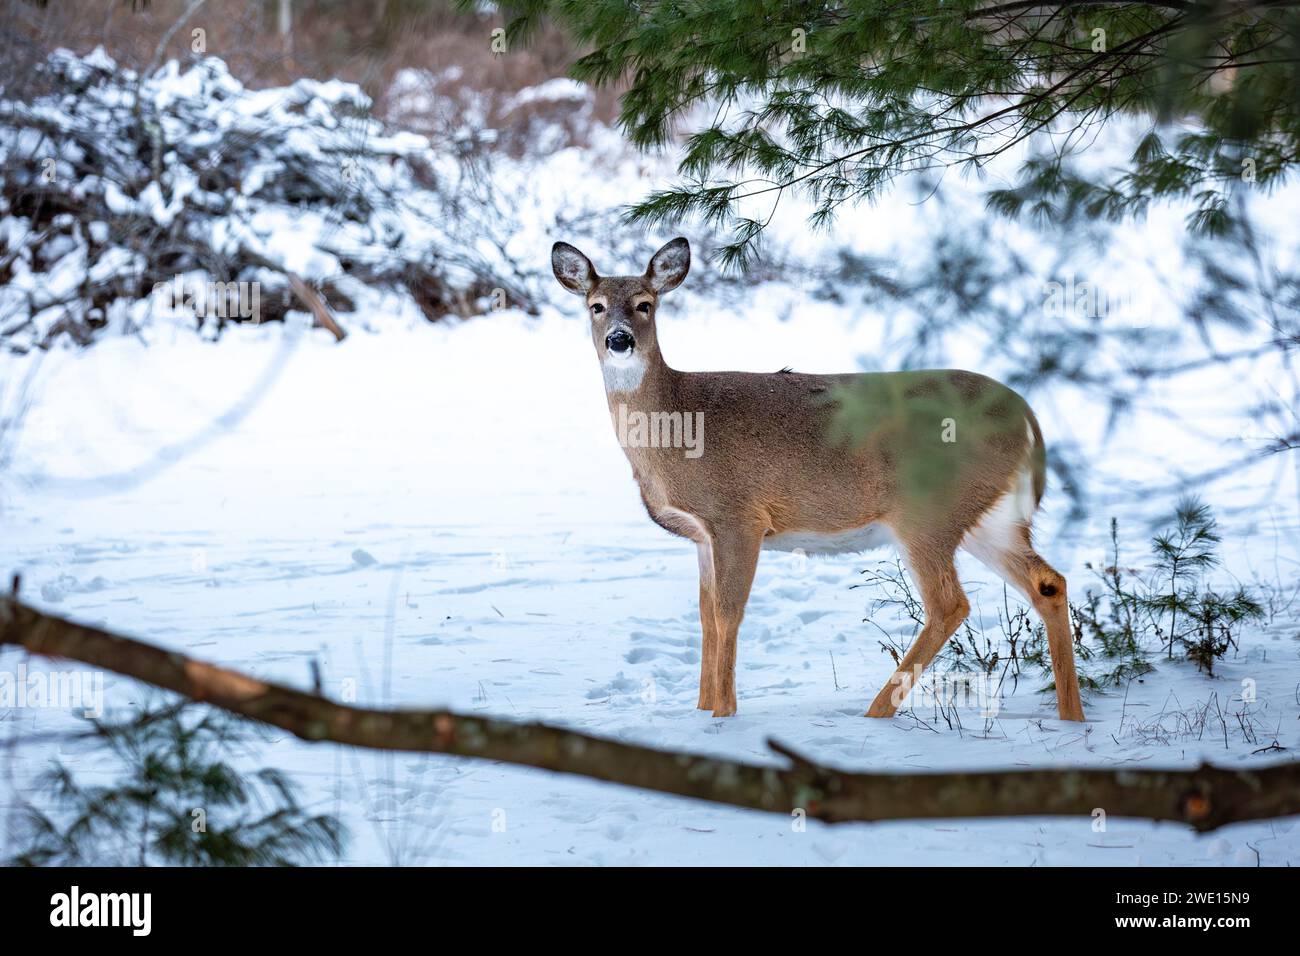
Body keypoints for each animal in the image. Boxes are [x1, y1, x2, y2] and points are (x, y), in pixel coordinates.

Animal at [551, 236, 1085, 722]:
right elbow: (704, 617)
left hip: (926, 512)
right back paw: (1071, 718)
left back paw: (876, 713)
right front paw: (701, 710)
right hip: (985, 516)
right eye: (596, 306)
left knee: (950, 605)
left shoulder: (738, 515)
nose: (620, 339)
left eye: (646, 303)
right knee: (1047, 582)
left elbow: (728, 614)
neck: (677, 428)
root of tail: (1027, 416)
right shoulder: (702, 535)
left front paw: (723, 715)